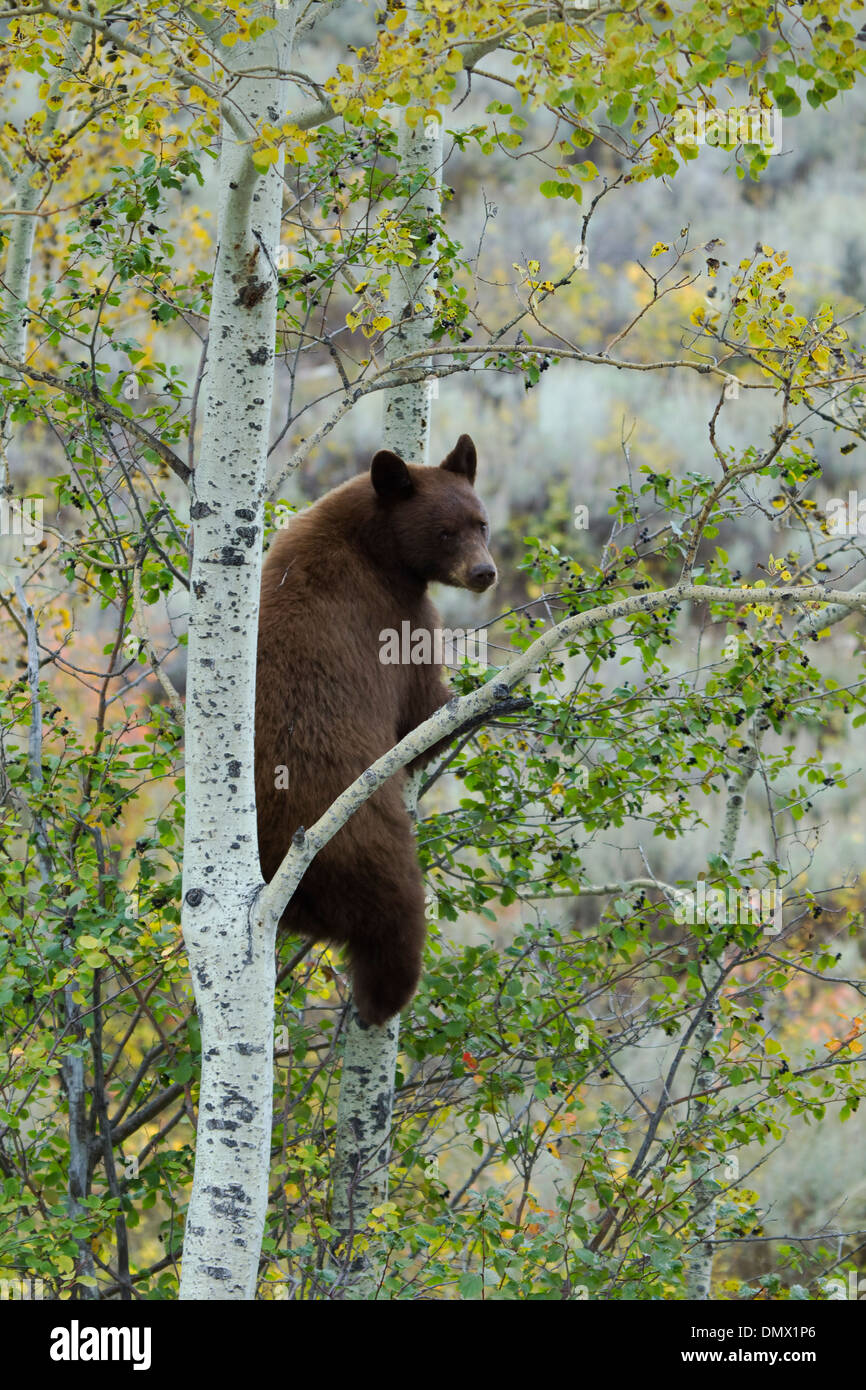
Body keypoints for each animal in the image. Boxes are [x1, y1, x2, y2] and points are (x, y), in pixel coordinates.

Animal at [255, 433, 496, 1026]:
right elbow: (424, 712)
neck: (372, 542)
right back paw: (381, 1001)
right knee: (396, 916)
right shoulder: (398, 616)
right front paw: (484, 700)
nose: (484, 573)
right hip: (366, 839)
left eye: (481, 523)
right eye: (445, 531)